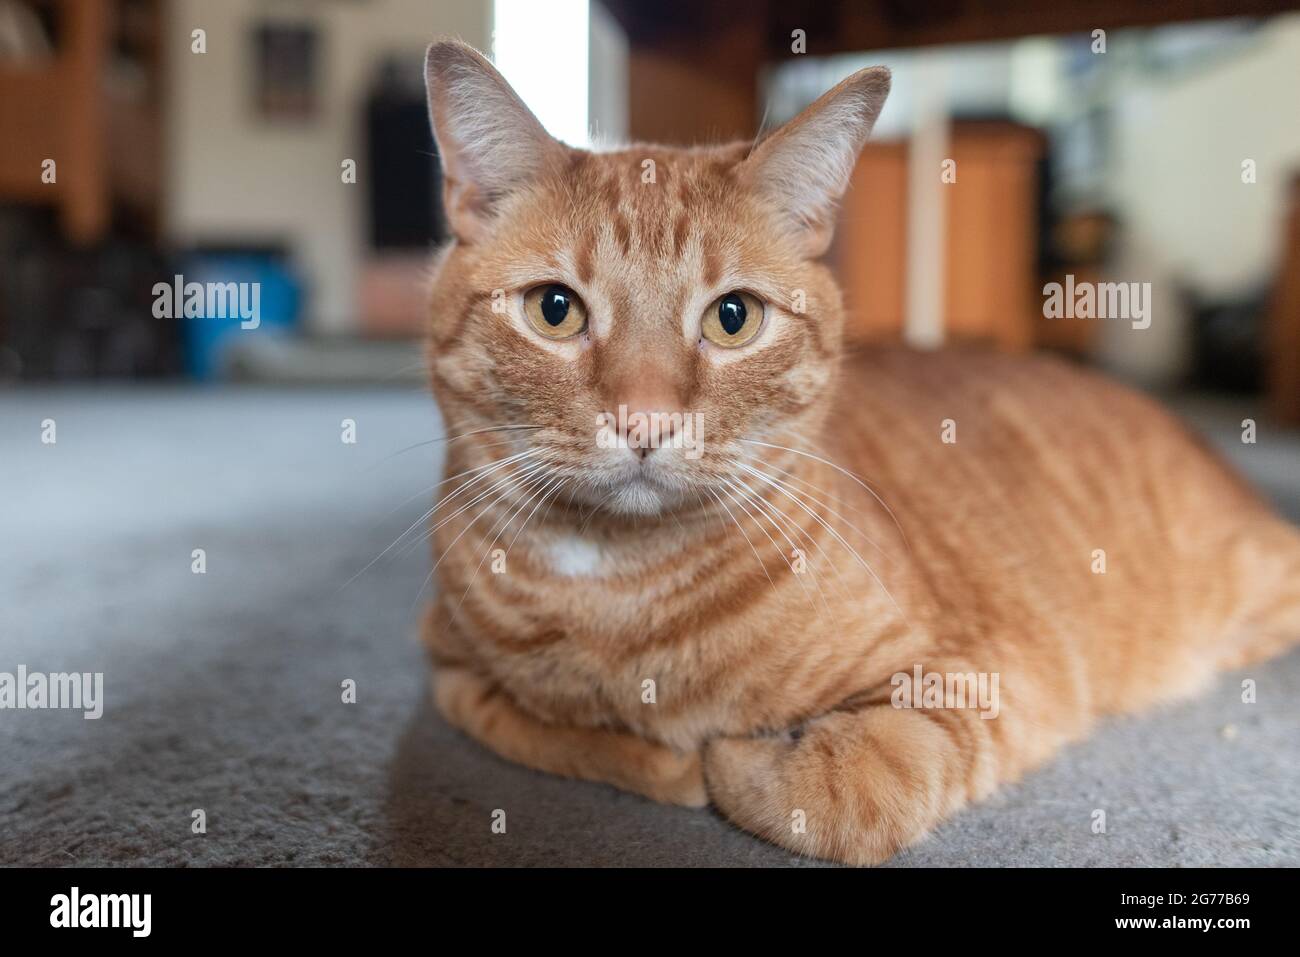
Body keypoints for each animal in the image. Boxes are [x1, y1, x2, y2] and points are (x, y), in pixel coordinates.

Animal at [416, 41, 1300, 868]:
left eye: (733, 317)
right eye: (554, 310)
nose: (645, 421)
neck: (616, 590)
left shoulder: (981, 677)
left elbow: (838, 786)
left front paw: (728, 759)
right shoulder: (449, 670)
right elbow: (550, 730)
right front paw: (663, 756)